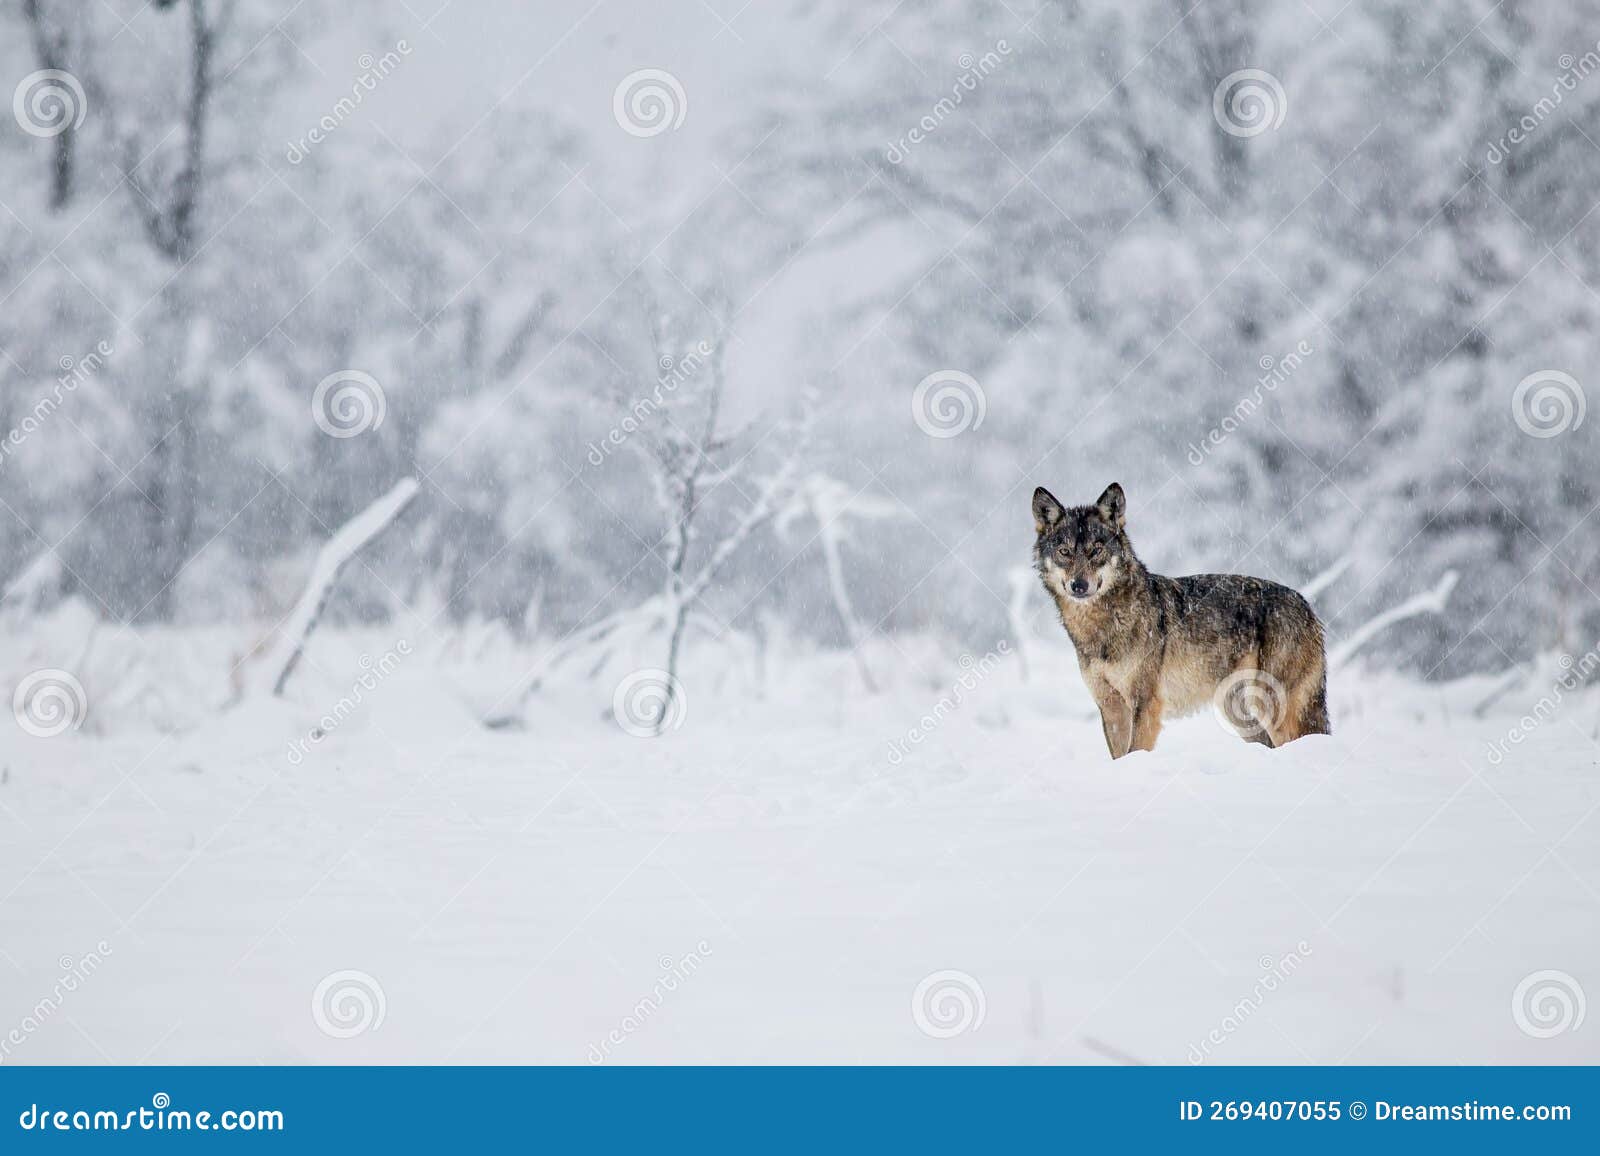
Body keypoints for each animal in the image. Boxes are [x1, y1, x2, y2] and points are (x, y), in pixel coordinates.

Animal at [1032, 483, 1329, 758]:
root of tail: (1306, 604)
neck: (1103, 624)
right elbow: (1120, 755)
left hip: (1277, 707)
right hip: (1238, 711)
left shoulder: (1145, 703)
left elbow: (1135, 750)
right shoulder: (1111, 707)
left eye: (1095, 550)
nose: (1079, 585)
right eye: (1064, 552)